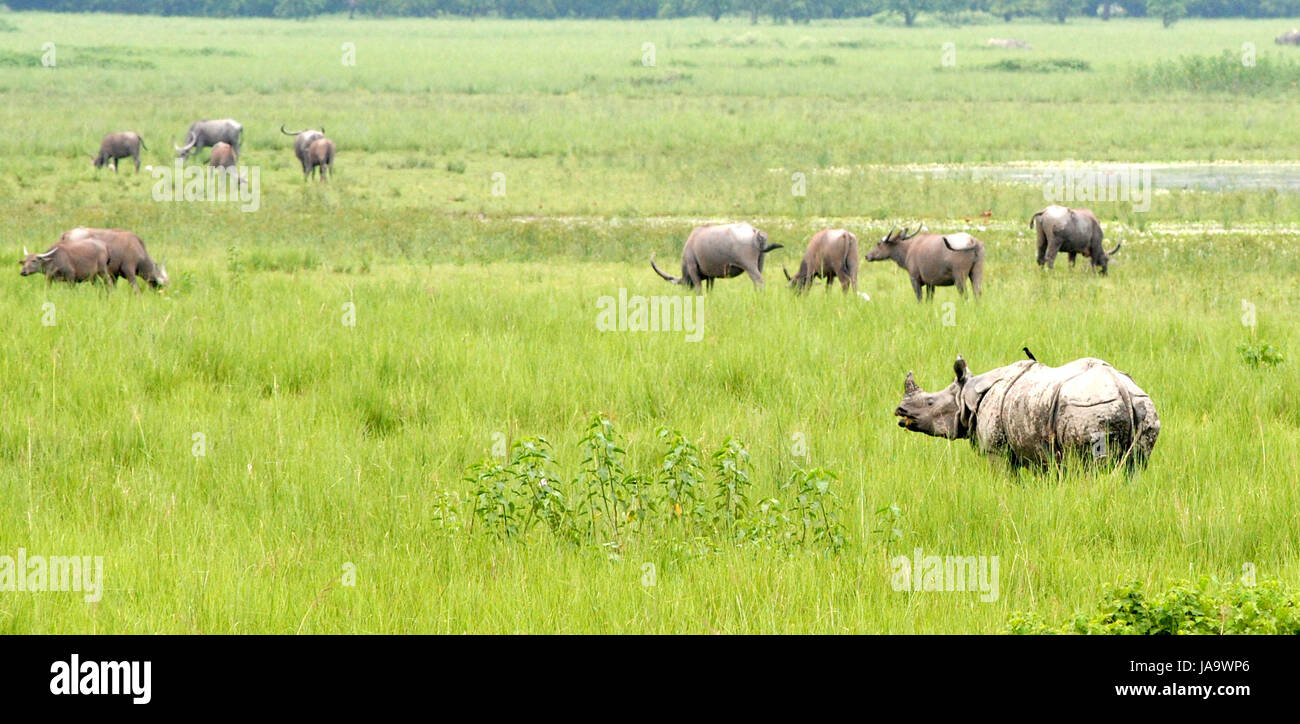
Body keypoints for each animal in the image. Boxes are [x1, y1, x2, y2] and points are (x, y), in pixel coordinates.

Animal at [651, 222, 782, 291]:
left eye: (684, 285)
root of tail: (754, 231)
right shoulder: (711, 276)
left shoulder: (692, 267)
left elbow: (699, 288)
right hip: (760, 263)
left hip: (749, 266)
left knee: (758, 280)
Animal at [894, 352, 1160, 469]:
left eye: (930, 402)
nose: (899, 411)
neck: (966, 396)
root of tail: (1120, 388)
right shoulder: (1033, 444)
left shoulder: (996, 451)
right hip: (1144, 406)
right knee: (1136, 465)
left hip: (1090, 408)